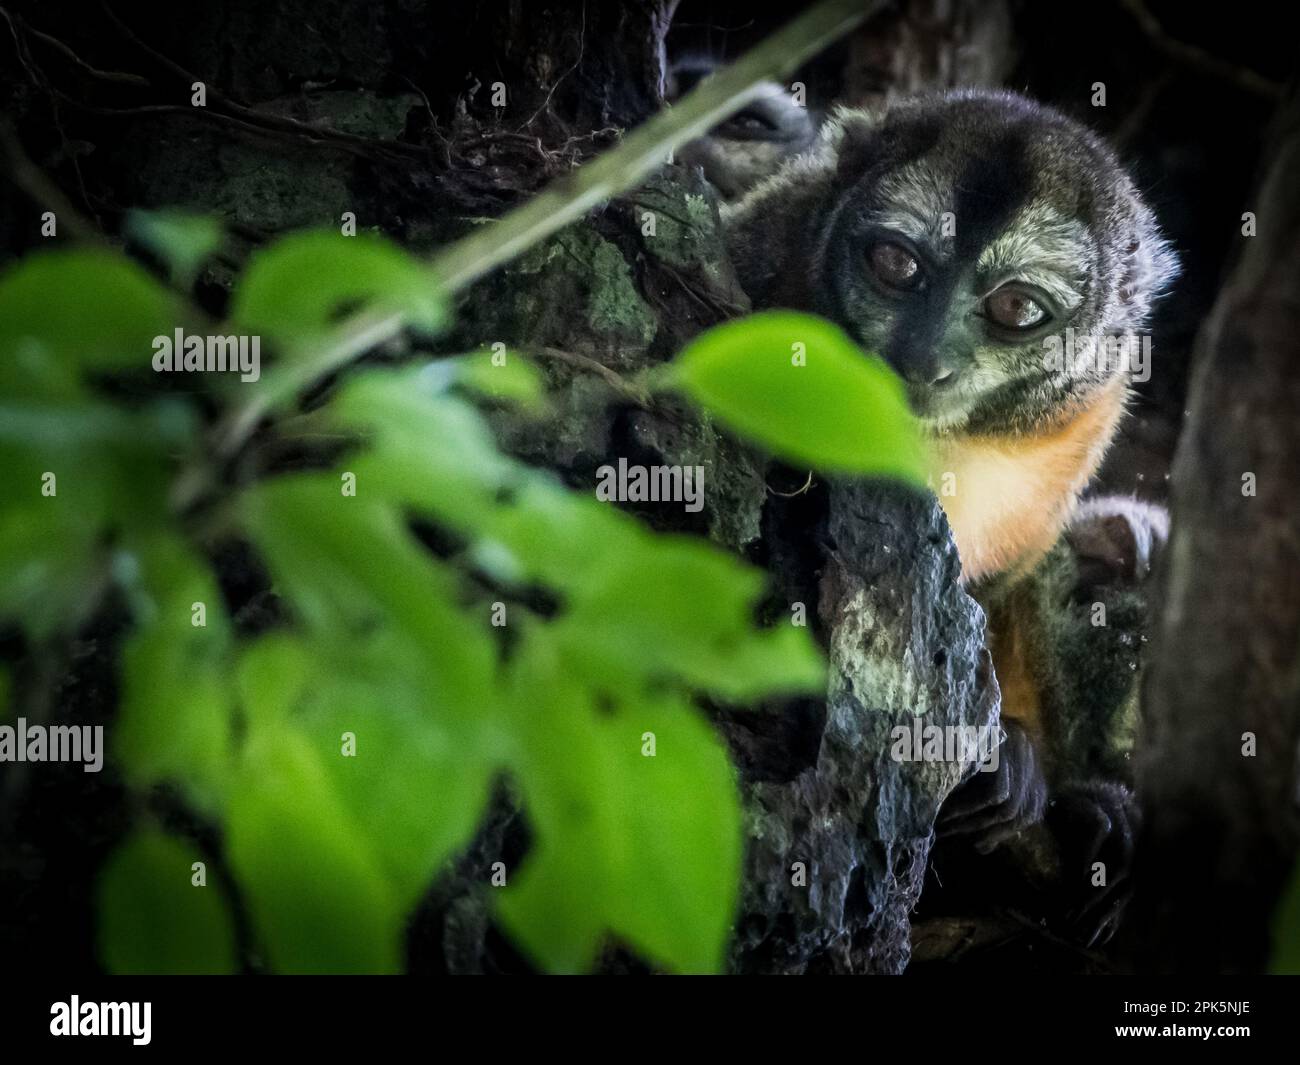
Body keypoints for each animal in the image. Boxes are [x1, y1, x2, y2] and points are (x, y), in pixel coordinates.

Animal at [715, 87, 1178, 941]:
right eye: (897, 264)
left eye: (1015, 307)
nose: (923, 359)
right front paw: (1013, 763)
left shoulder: (1084, 420)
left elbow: (1006, 585)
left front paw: (1038, 772)